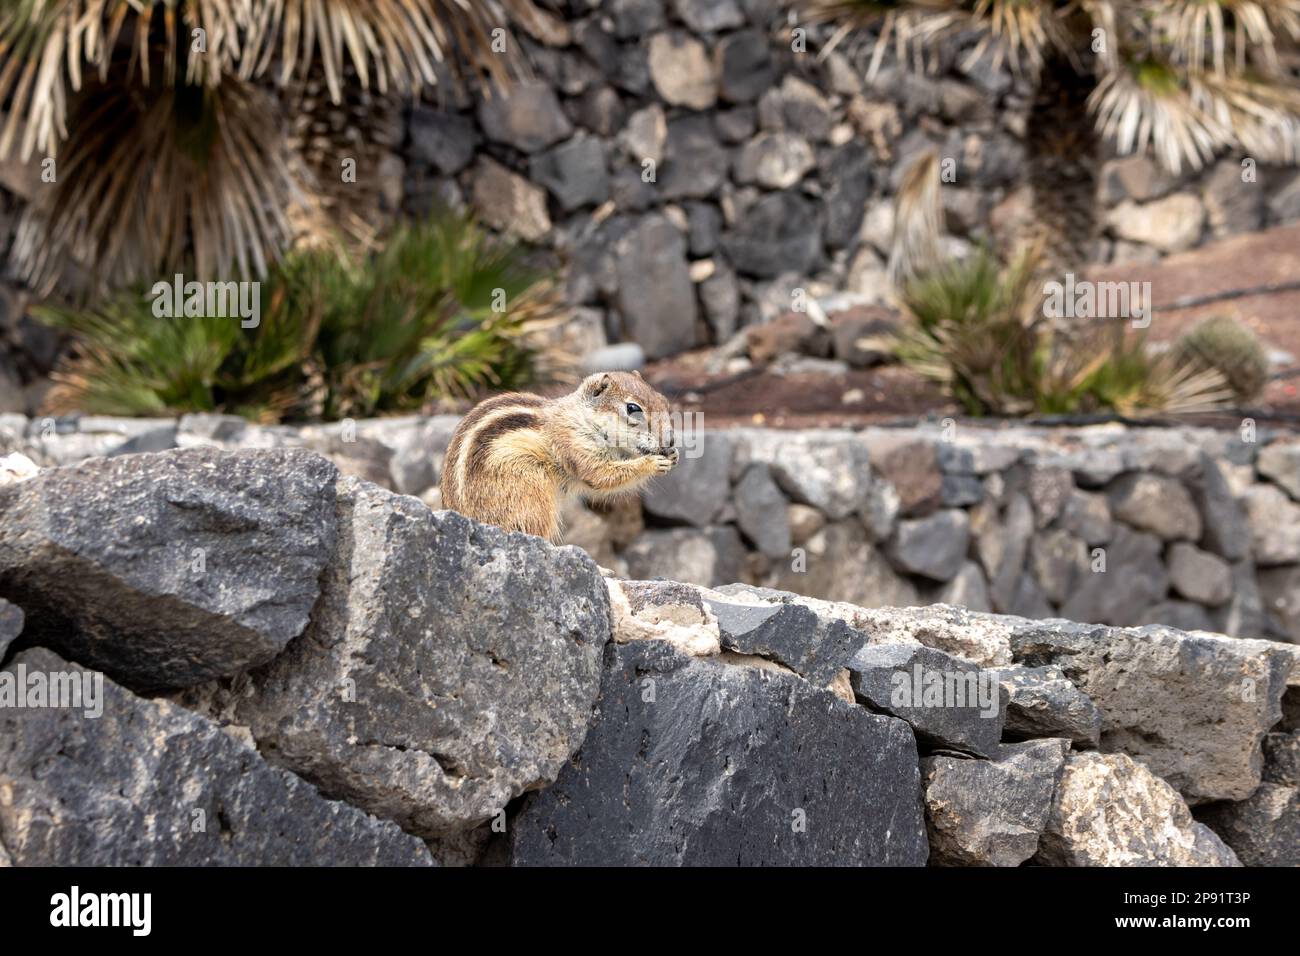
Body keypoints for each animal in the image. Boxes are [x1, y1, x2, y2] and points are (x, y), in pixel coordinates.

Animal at [440, 371, 679, 542]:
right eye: (632, 408)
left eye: (664, 401)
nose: (670, 442)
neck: (581, 418)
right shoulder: (571, 444)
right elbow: (600, 475)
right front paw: (651, 463)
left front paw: (673, 456)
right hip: (529, 495)